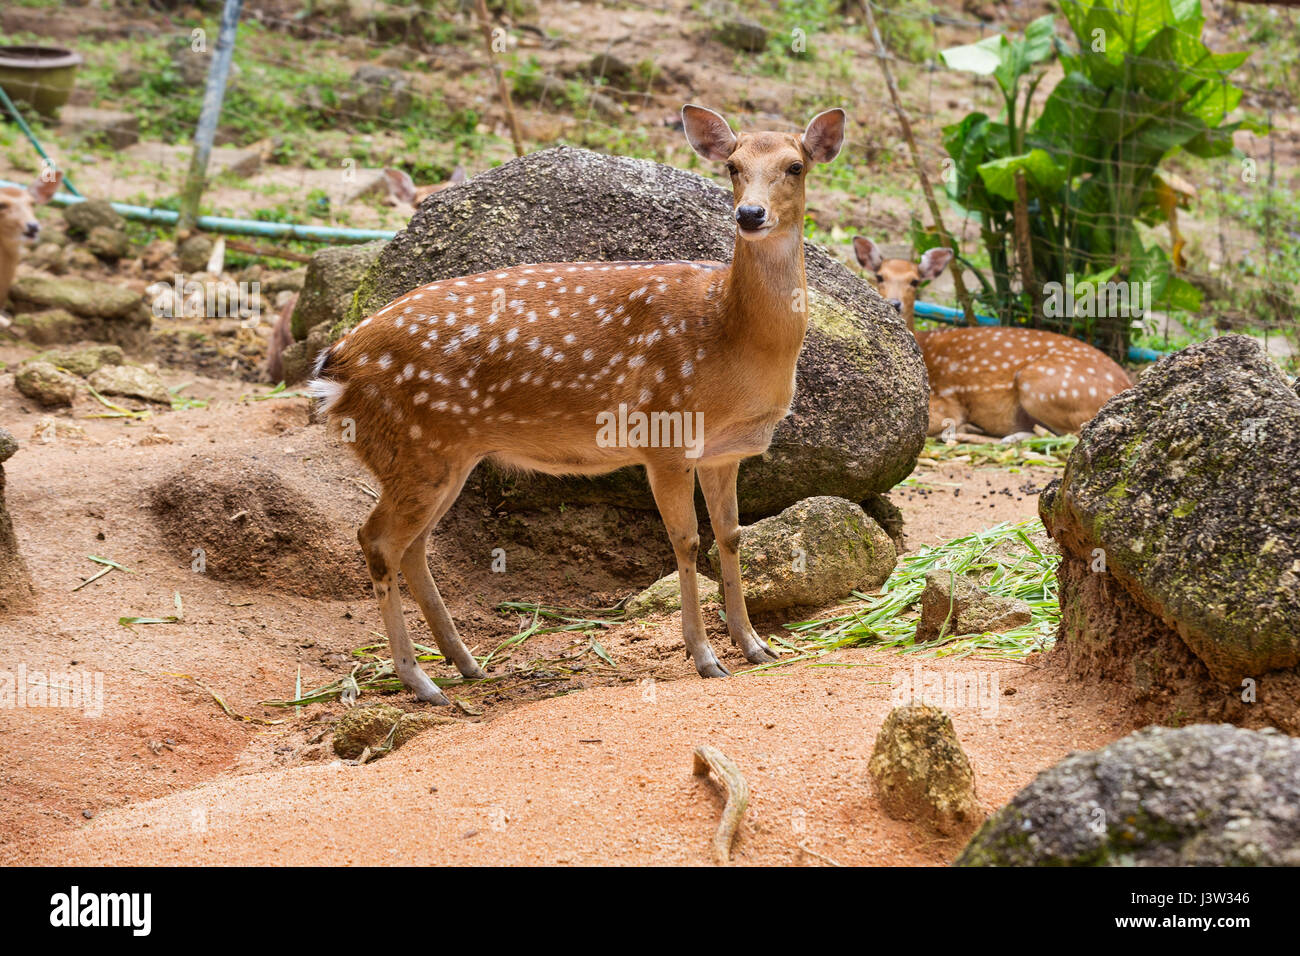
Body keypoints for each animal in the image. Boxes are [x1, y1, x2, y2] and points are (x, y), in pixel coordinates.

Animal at [309, 105, 847, 704]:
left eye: (795, 166)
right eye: (732, 166)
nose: (749, 213)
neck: (731, 337)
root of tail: (336, 367)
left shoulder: (723, 452)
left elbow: (729, 538)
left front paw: (754, 645)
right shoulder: (664, 433)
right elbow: (686, 541)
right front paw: (705, 656)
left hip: (440, 457)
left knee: (413, 546)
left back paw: (466, 663)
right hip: (414, 447)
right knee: (378, 540)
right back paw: (421, 680)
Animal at [852, 236, 1131, 438]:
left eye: (915, 281)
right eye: (879, 277)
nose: (894, 303)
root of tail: (1125, 384)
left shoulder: (946, 401)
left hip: (1041, 384)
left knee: (1071, 434)